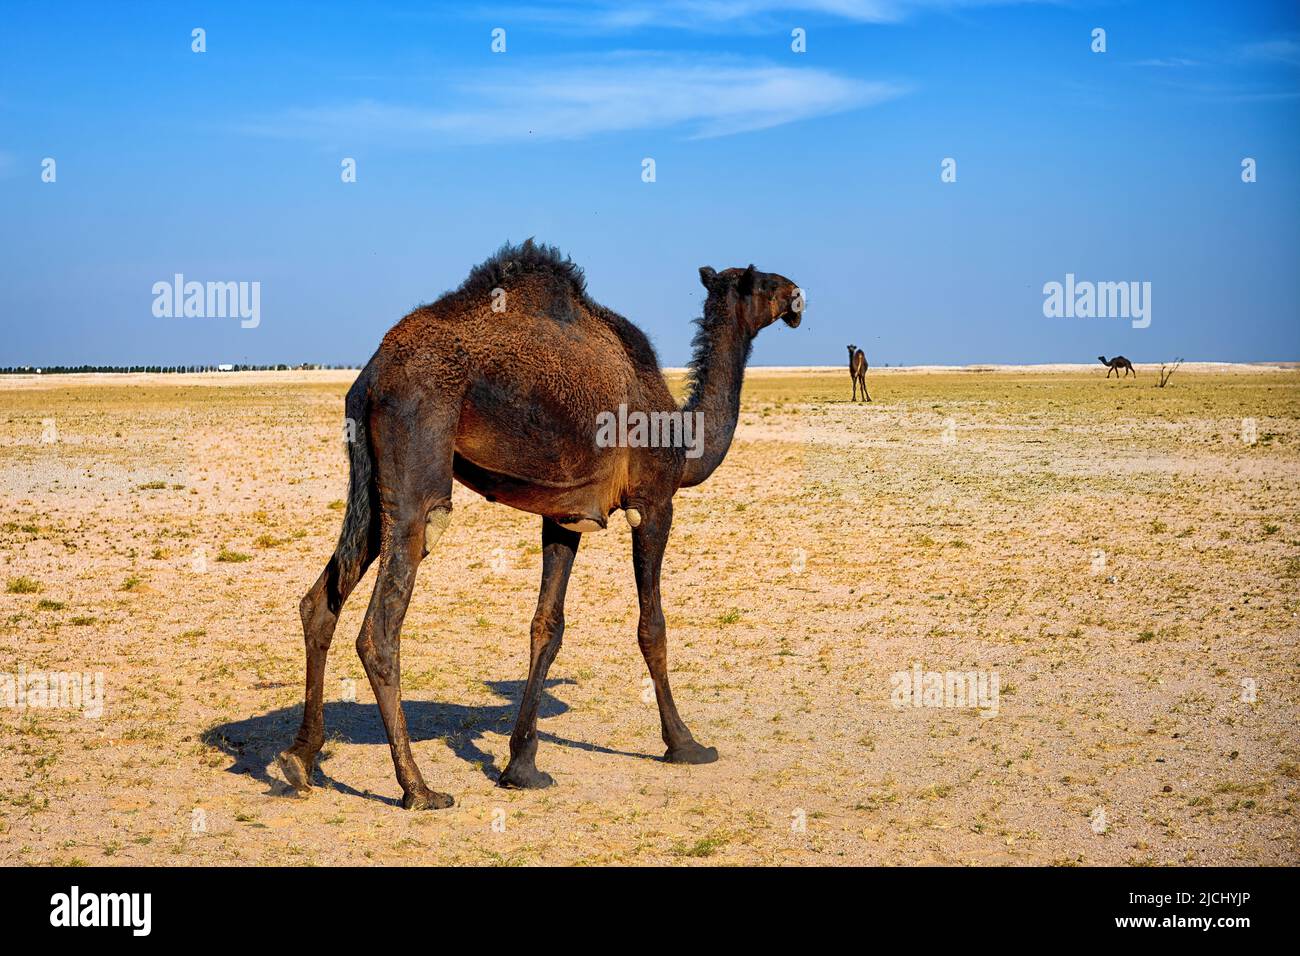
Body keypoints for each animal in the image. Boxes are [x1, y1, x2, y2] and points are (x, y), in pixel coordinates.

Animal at [278, 240, 802, 809]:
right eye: (766, 283)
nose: (799, 296)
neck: (680, 436)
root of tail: (370, 376)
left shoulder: (565, 515)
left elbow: (546, 626)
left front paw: (522, 765)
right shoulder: (653, 501)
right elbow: (652, 627)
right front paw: (685, 744)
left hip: (373, 486)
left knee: (320, 601)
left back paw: (299, 761)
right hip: (419, 456)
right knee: (383, 622)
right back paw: (419, 788)